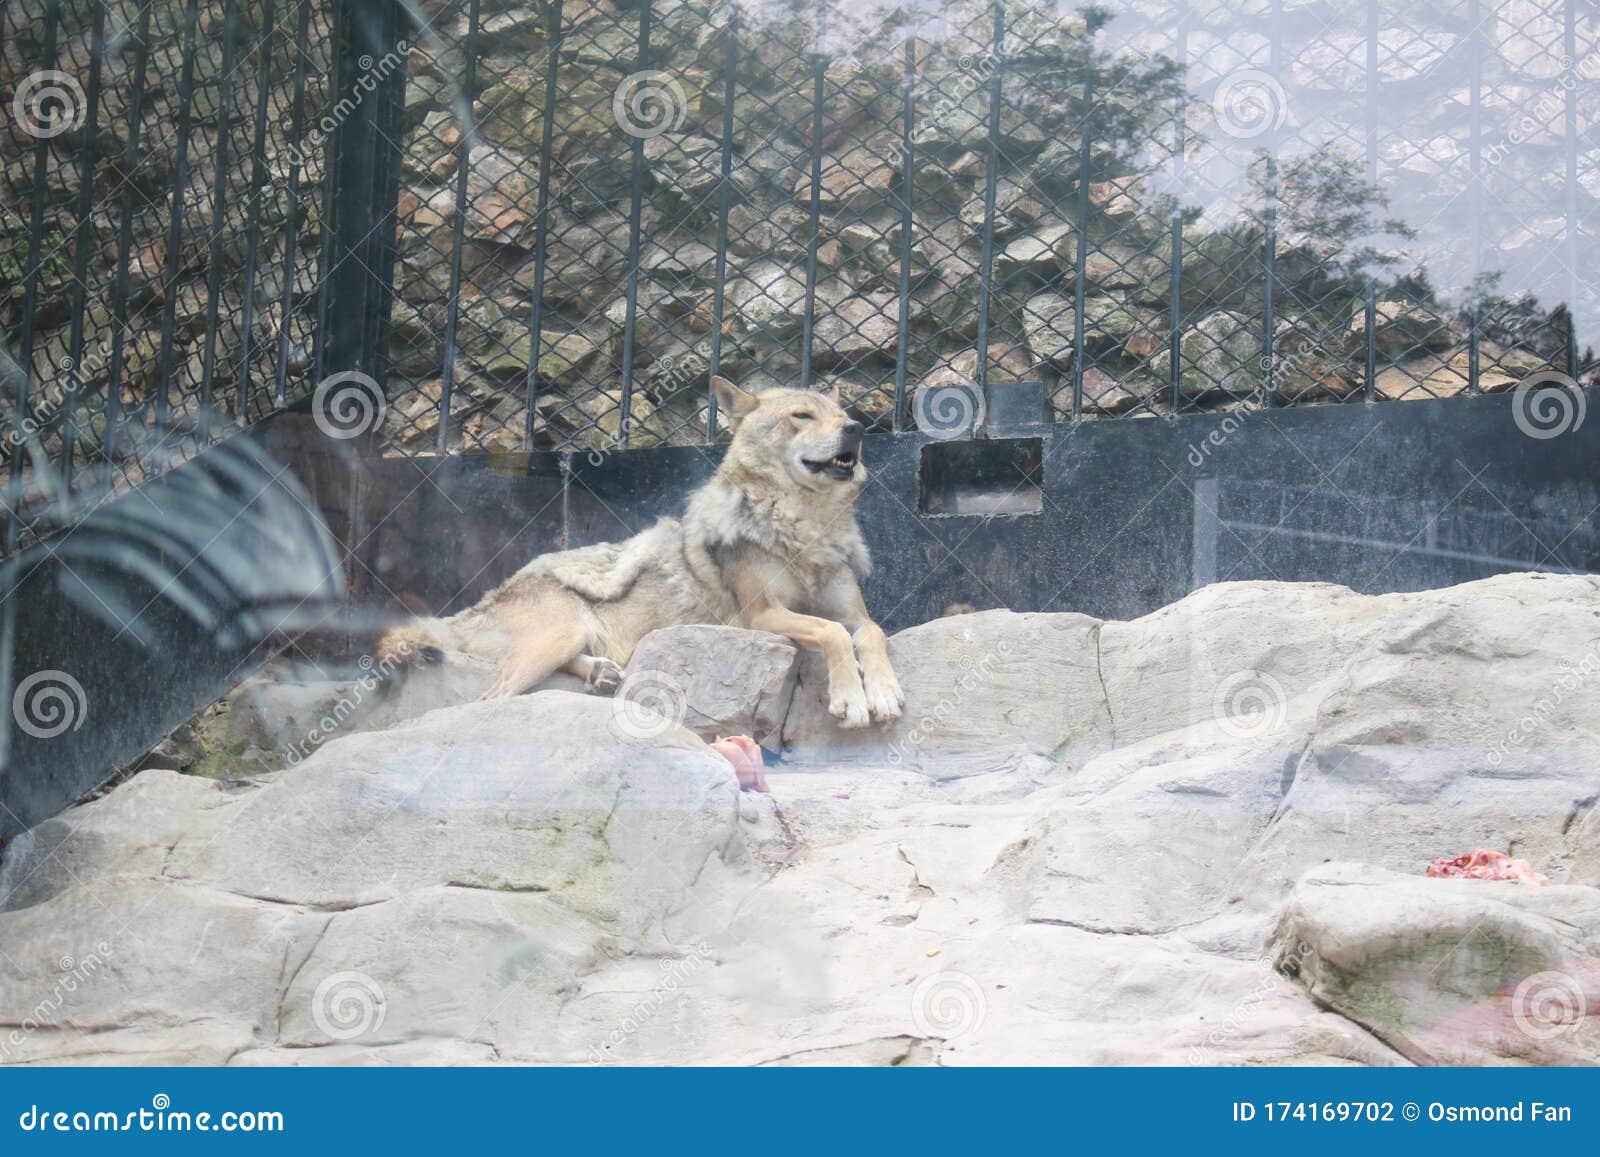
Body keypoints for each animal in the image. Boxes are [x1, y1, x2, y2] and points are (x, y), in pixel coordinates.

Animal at [377, 376, 904, 728]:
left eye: (840, 414)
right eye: (802, 416)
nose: (856, 428)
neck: (805, 523)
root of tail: (482, 601)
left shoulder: (853, 610)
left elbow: (870, 632)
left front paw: (883, 693)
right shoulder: (761, 616)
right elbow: (832, 633)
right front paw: (851, 699)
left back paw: (601, 673)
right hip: (561, 633)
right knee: (492, 698)